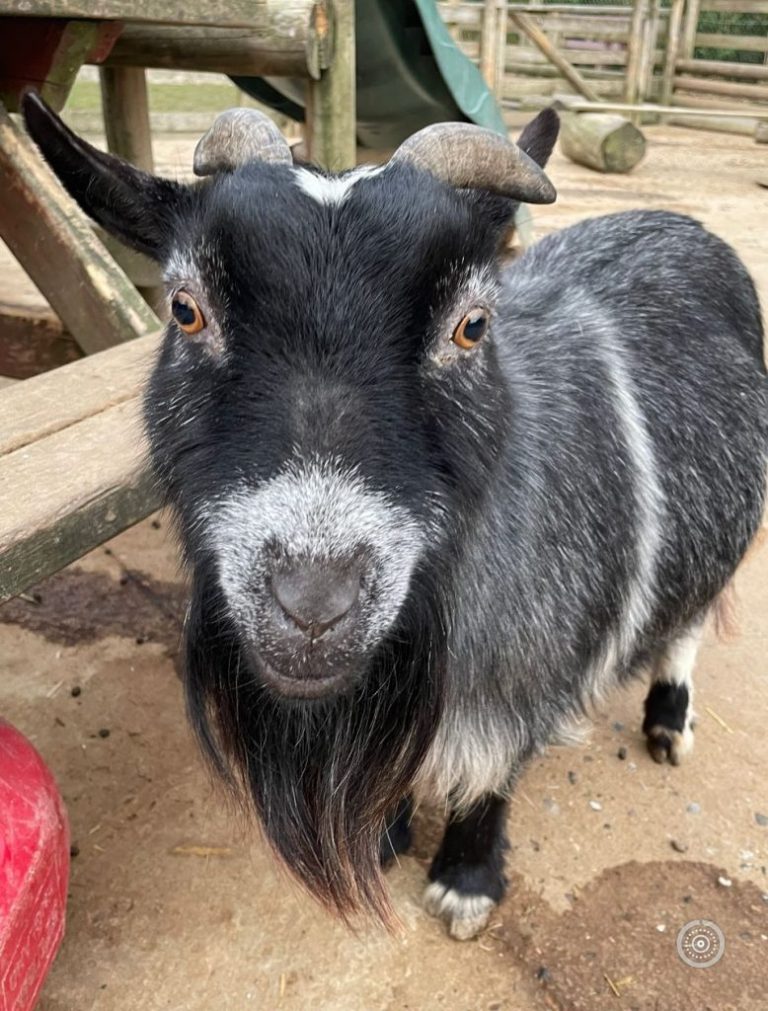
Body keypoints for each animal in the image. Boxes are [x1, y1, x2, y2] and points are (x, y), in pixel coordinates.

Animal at [24, 94, 767, 939]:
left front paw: (468, 877)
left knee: (689, 619)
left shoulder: (534, 671)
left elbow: (497, 768)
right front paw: (390, 833)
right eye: (184, 310)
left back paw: (669, 720)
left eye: (472, 325)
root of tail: (677, 221)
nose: (313, 604)